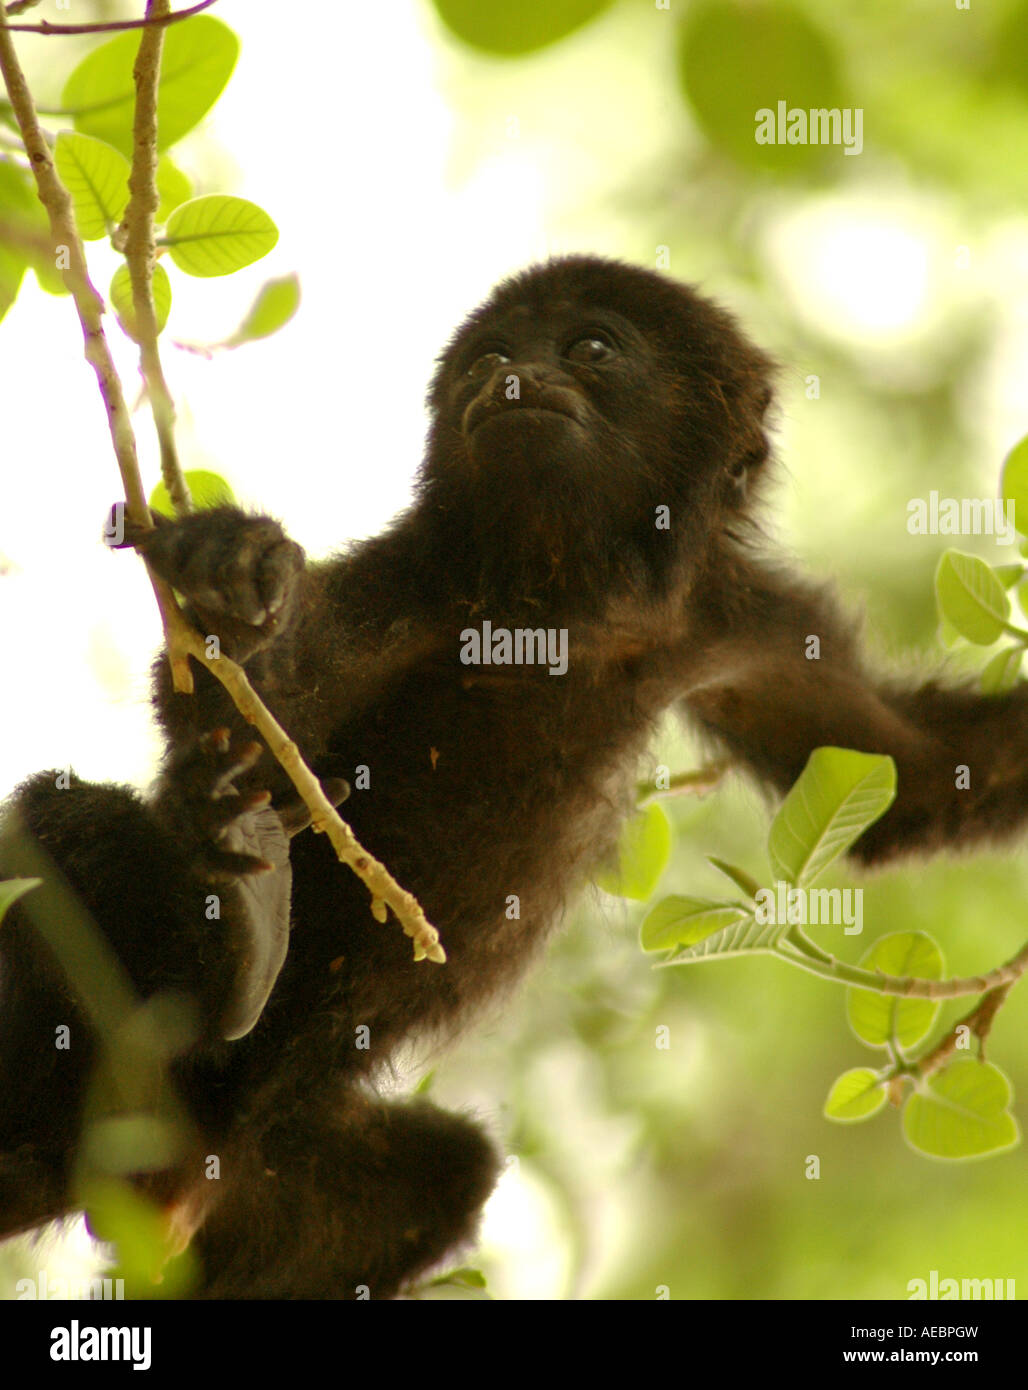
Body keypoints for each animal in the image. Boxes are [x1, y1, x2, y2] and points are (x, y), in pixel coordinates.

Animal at [1, 255, 1026, 1298]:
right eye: (491, 356)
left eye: (592, 347)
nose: (509, 380)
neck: (569, 601)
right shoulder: (414, 581)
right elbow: (276, 695)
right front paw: (231, 586)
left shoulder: (747, 622)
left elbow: (915, 775)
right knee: (58, 819)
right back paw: (244, 935)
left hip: (276, 1167)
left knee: (445, 1175)